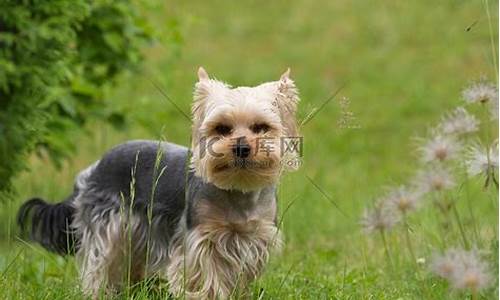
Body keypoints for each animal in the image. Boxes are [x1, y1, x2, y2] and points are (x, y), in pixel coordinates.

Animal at [17, 67, 300, 298]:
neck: (238, 190)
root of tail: (92, 169)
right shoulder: (200, 241)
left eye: (261, 127)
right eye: (222, 129)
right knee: (100, 265)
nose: (241, 147)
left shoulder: (254, 238)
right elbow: (205, 278)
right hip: (111, 226)